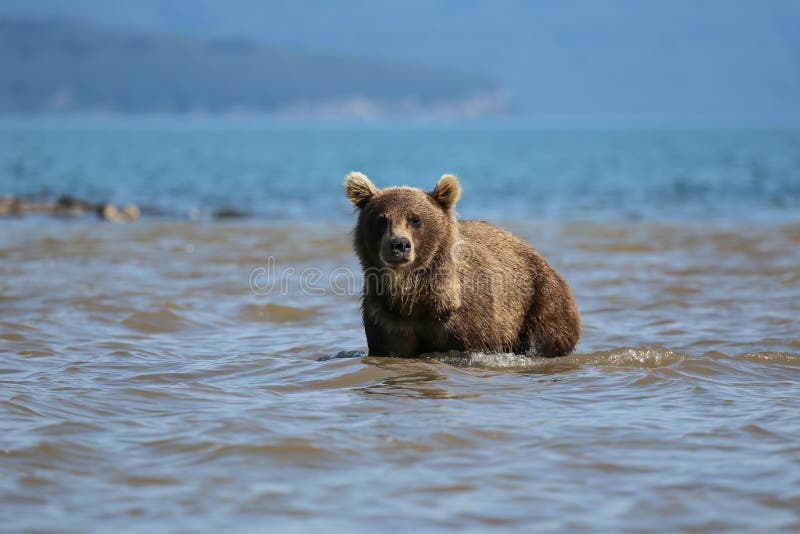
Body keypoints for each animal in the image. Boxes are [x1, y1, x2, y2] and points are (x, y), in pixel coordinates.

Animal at [344, 172, 581, 358]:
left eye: (415, 219)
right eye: (382, 219)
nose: (399, 244)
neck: (416, 299)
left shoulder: (466, 318)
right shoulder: (387, 318)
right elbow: (389, 347)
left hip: (540, 299)